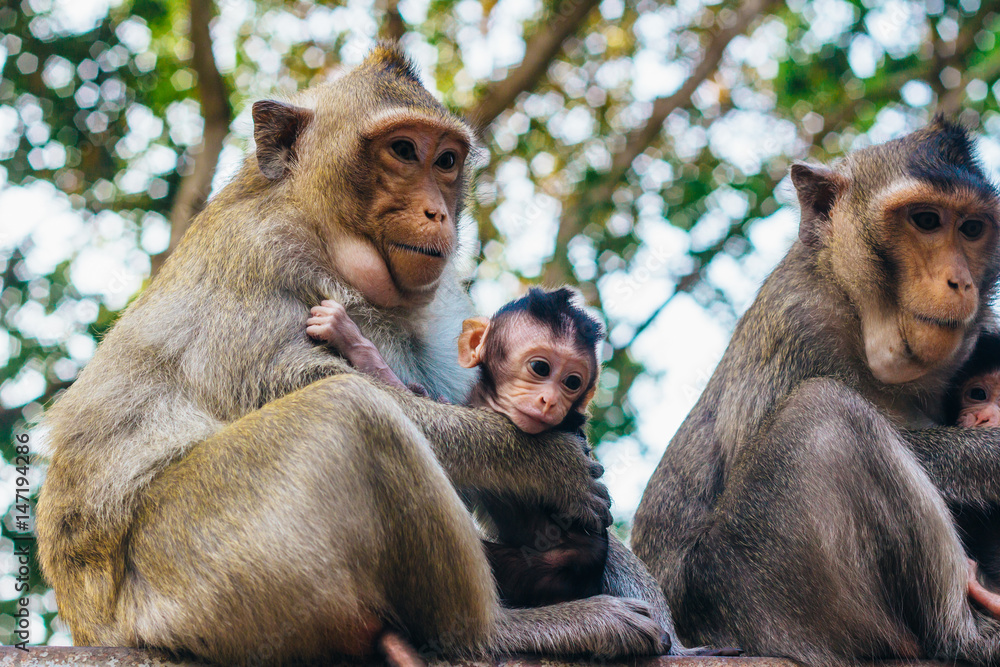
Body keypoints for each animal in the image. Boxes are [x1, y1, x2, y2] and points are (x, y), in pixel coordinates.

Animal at [632, 117, 1000, 666]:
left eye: (972, 229)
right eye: (926, 220)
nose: (960, 281)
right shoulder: (800, 322)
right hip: (760, 595)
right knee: (824, 413)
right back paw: (964, 636)